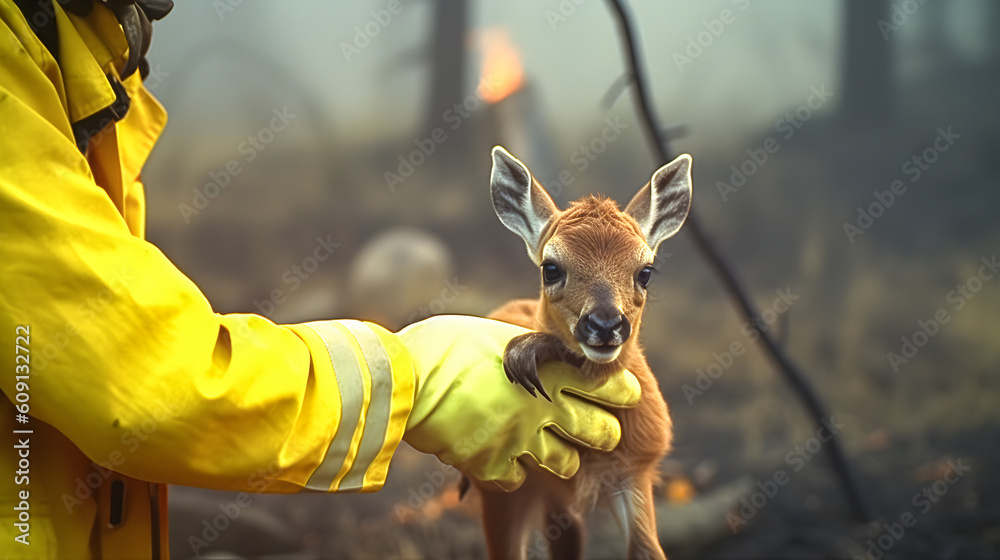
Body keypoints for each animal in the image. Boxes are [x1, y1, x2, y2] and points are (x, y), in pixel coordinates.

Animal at [470, 145, 693, 560]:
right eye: (551, 268)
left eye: (646, 271)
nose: (605, 324)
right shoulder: (502, 486)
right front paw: (527, 353)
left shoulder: (634, 470)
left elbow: (647, 550)